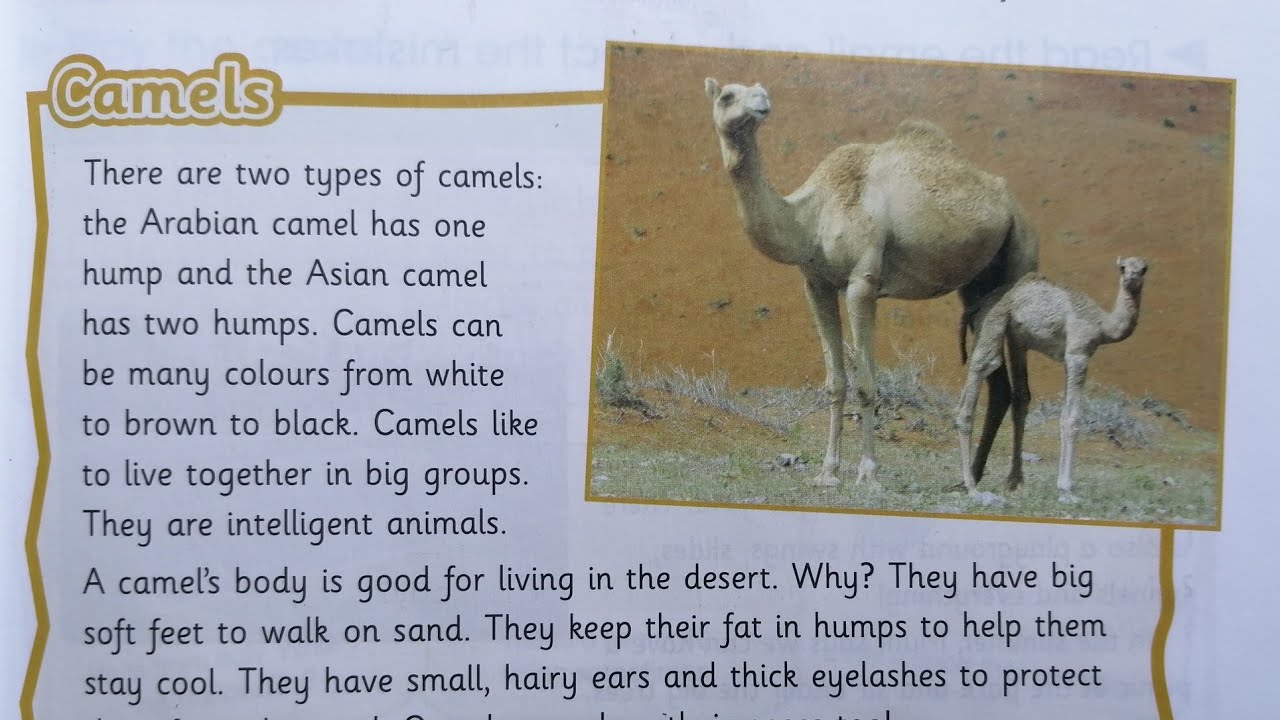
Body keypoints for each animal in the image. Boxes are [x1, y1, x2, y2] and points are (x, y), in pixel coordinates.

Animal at [704, 78, 1039, 491]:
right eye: (726, 96)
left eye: (759, 91)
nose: (761, 103)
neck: (811, 215)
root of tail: (1016, 207)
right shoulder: (816, 284)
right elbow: (836, 381)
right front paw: (828, 472)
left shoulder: (863, 282)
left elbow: (865, 382)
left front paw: (868, 473)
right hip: (978, 286)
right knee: (1001, 386)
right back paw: (970, 478)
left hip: (1021, 258)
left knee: (1019, 386)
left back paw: (1012, 481)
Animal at [955, 257, 1149, 503]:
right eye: (1123, 268)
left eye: (1144, 268)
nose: (1132, 277)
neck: (1102, 325)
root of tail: (979, 304)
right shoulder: (1077, 354)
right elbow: (1072, 419)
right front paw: (1066, 490)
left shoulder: (1067, 359)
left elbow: (1062, 414)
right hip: (994, 322)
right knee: (979, 376)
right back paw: (973, 488)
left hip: (1013, 337)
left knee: (1012, 394)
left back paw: (1006, 480)